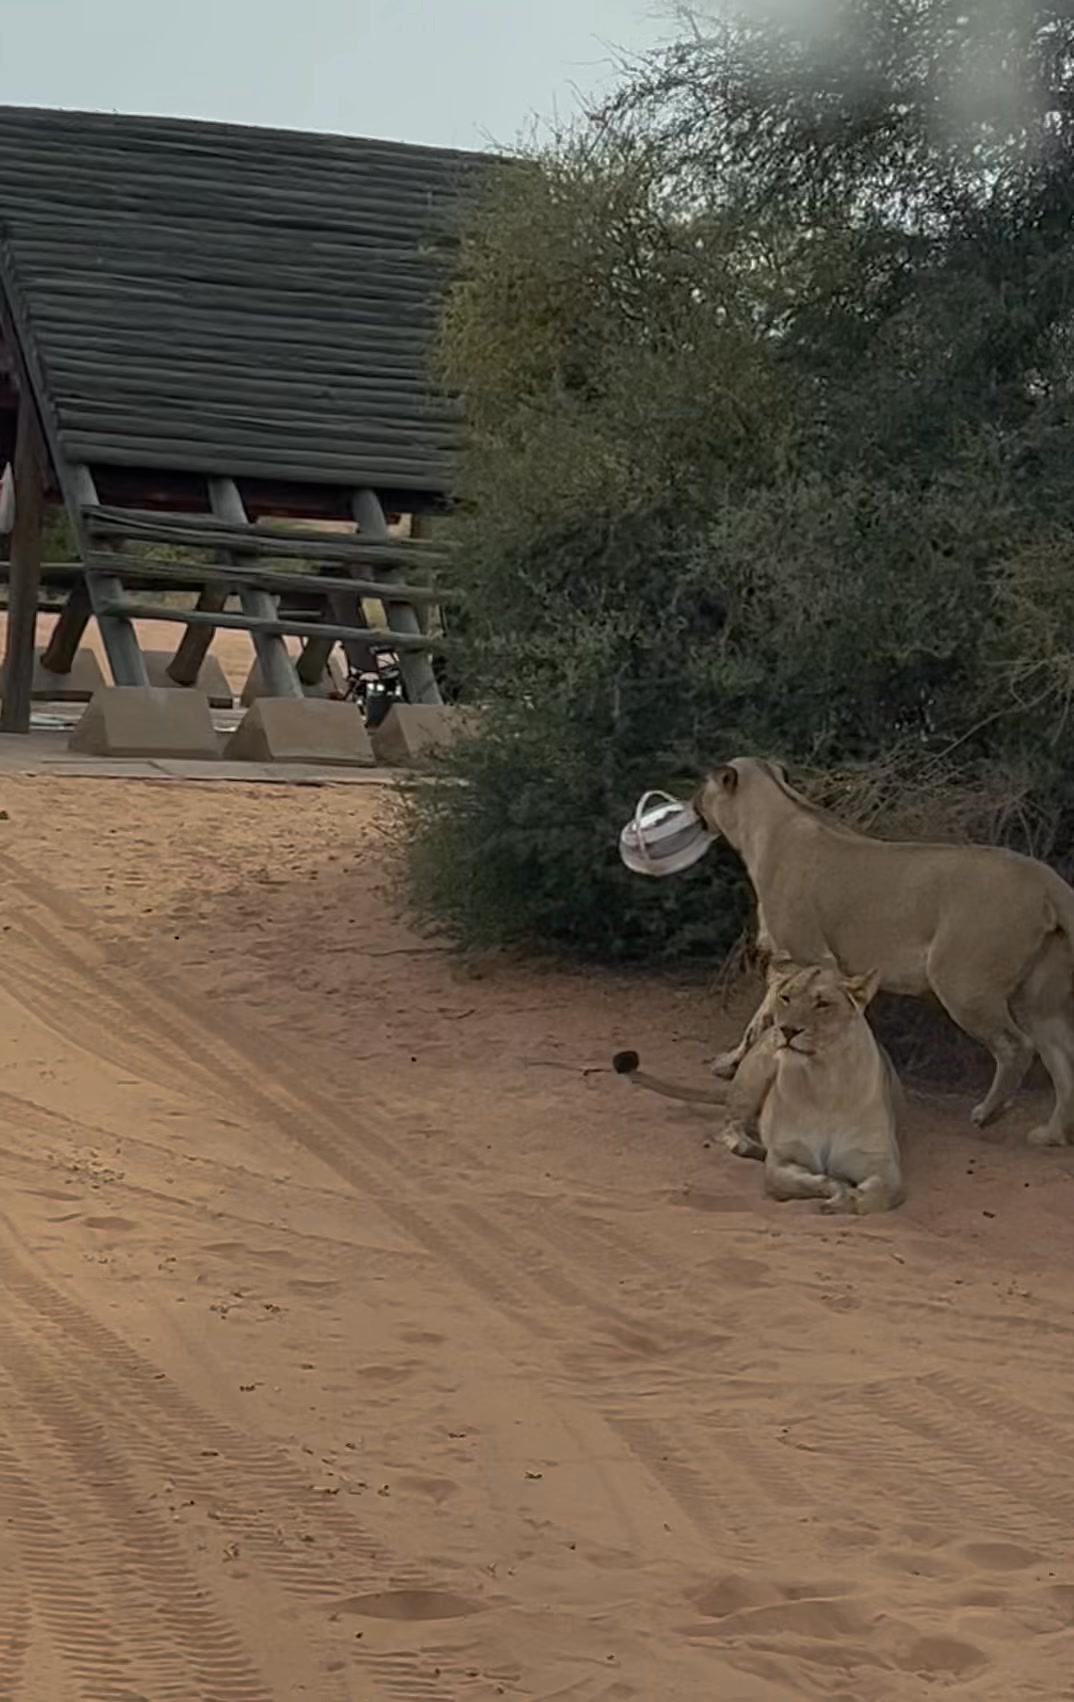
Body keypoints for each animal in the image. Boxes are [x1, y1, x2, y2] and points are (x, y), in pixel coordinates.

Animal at [615, 963, 904, 1213]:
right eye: (786, 998)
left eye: (823, 1004)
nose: (787, 1030)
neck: (825, 1081)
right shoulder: (782, 1158)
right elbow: (792, 1181)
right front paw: (836, 1187)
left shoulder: (883, 1166)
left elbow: (875, 1196)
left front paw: (843, 1200)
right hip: (755, 1074)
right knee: (730, 1123)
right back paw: (747, 1146)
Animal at [695, 757, 1074, 1149]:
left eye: (703, 787)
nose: (693, 803)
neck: (769, 820)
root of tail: (1045, 878)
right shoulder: (788, 965)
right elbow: (761, 1020)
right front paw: (729, 1063)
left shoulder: (812, 956)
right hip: (1038, 1001)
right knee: (1063, 1058)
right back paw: (1051, 1134)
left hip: (962, 984)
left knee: (1017, 1046)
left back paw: (989, 1112)